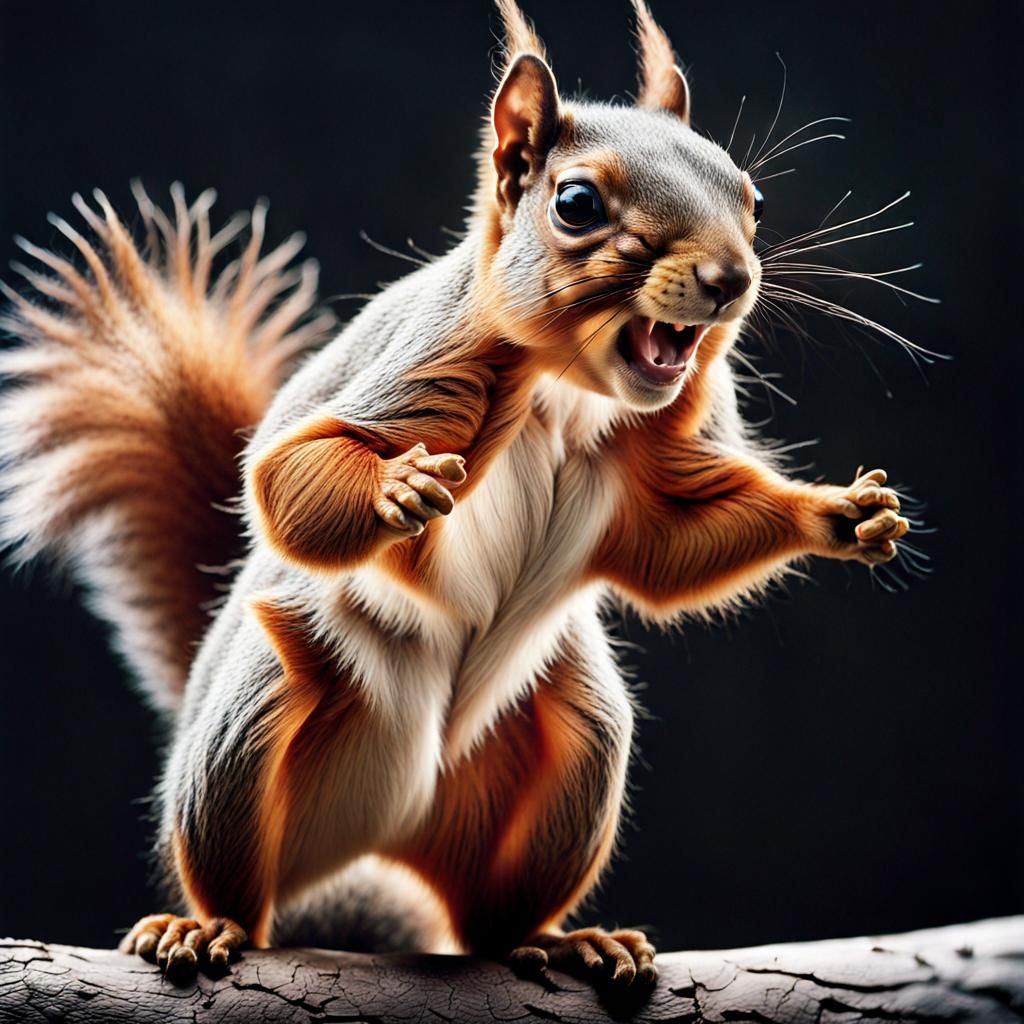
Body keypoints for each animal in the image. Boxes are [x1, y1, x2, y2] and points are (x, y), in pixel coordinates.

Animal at [0, 0, 912, 990]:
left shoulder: (648, 468)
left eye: (750, 198)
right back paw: (206, 926)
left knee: (492, 913)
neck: (566, 391)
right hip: (247, 735)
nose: (731, 279)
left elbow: (667, 545)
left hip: (568, 754)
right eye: (575, 205)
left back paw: (558, 939)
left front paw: (841, 514)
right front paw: (399, 487)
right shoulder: (424, 359)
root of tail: (376, 836)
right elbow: (288, 474)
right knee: (237, 875)